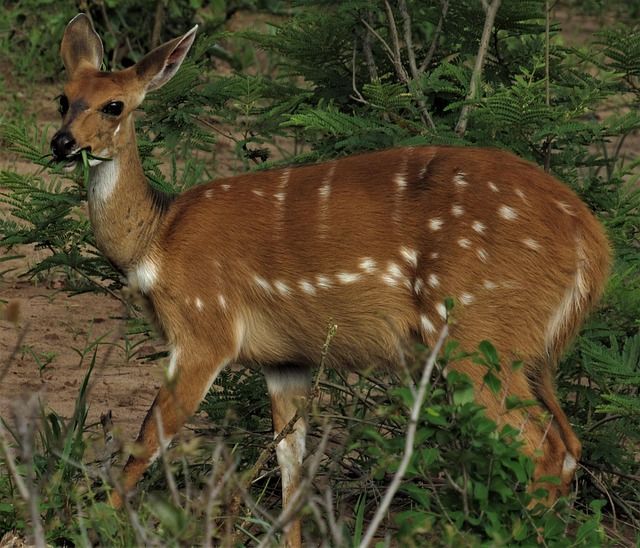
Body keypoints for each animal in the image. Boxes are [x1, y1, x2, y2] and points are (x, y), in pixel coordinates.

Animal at [51, 13, 610, 547]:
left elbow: (144, 444)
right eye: (63, 98)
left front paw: (90, 527)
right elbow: (291, 470)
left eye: (115, 106)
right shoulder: (285, 360)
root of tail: (592, 244)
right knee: (570, 445)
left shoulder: (203, 331)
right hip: (535, 351)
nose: (61, 143)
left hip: (475, 331)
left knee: (542, 448)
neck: (156, 240)